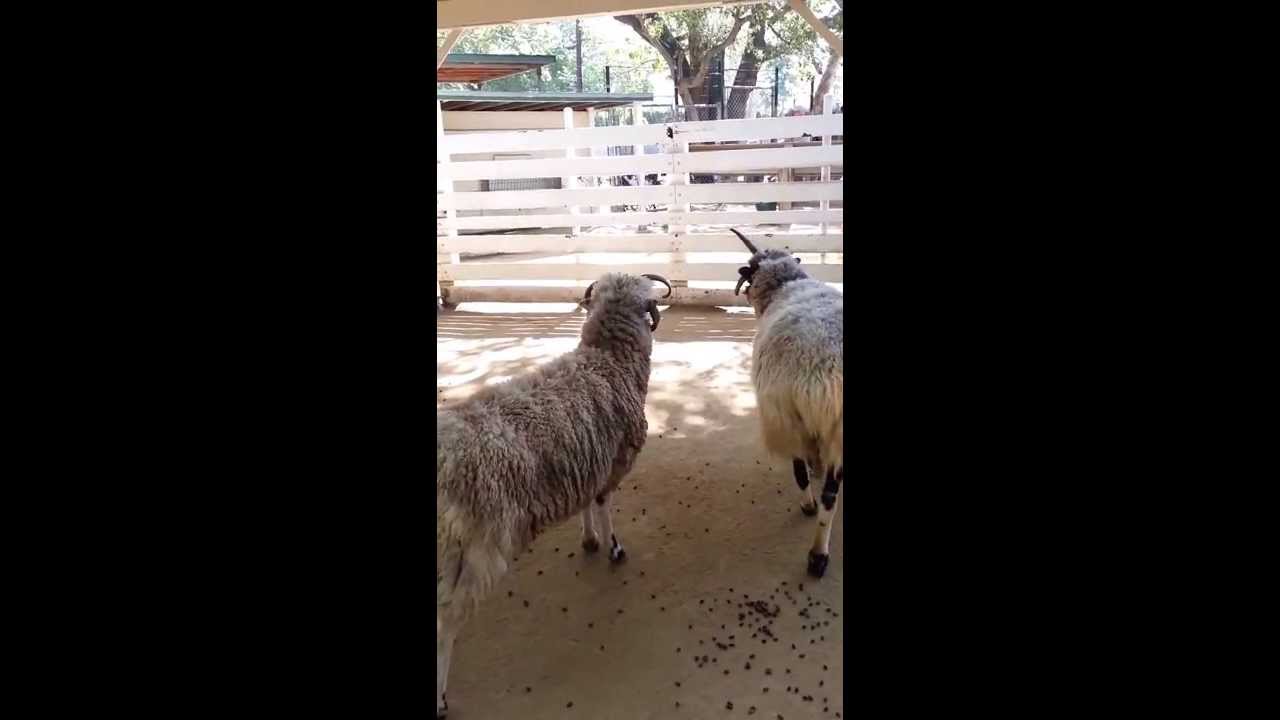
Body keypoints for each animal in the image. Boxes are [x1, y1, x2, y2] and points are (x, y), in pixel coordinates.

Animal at [435, 272, 671, 718]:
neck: (607, 359)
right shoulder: (614, 460)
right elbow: (605, 505)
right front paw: (614, 548)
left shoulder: (589, 462)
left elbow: (589, 503)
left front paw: (590, 540)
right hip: (467, 556)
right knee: (444, 626)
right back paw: (439, 698)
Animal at [731, 228, 844, 578]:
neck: (785, 287)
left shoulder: (785, 416)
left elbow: (801, 470)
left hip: (792, 419)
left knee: (824, 493)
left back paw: (817, 552)